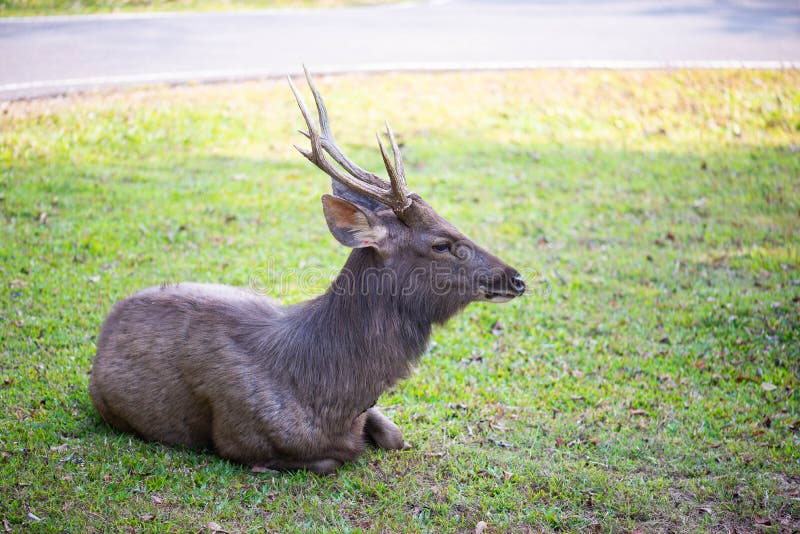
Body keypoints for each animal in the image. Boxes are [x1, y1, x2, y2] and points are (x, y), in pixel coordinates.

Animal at [89, 68, 526, 475]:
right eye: (440, 244)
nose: (516, 278)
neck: (328, 392)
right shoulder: (238, 437)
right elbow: (330, 459)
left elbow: (395, 435)